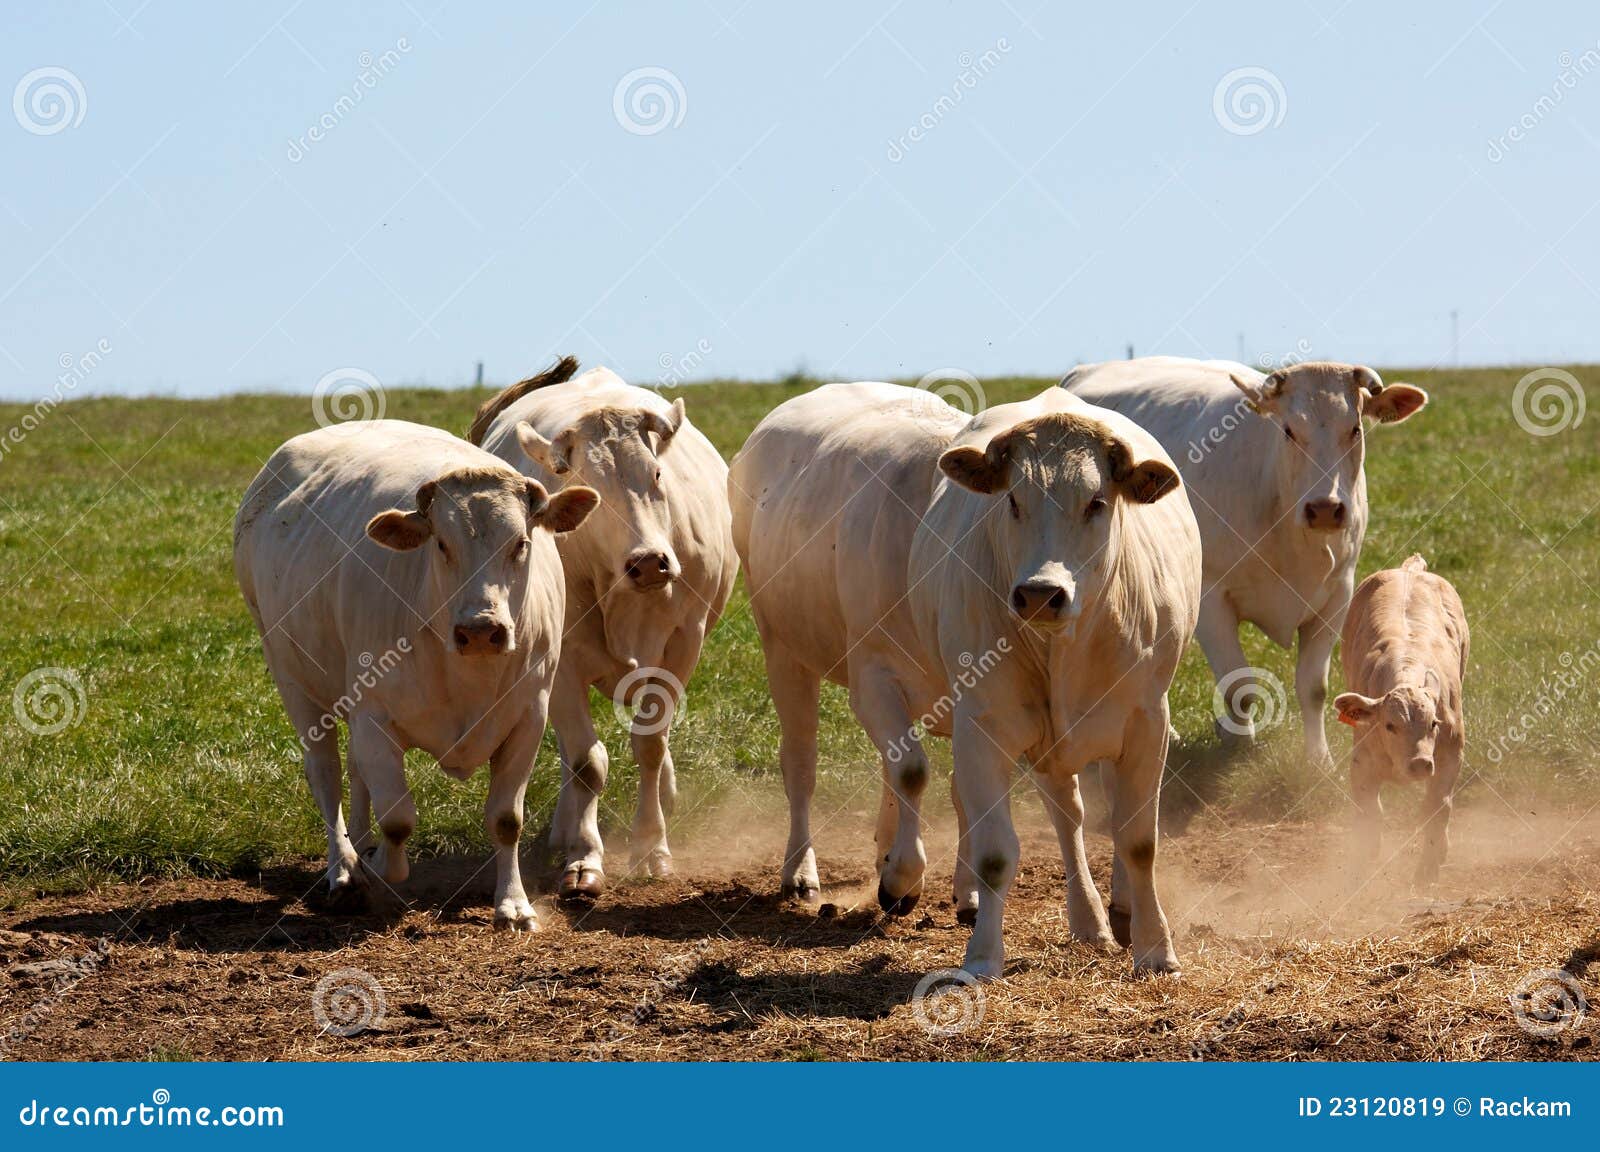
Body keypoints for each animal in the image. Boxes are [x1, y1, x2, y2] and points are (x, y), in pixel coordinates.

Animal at [234, 420, 598, 930]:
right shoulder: (373, 717)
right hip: (292, 678)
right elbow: (398, 818)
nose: (481, 629)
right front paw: (381, 868)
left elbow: (506, 819)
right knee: (326, 775)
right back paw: (343, 868)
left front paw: (512, 904)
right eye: (441, 544)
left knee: (355, 774)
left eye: (521, 544)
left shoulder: (529, 717)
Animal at [470, 358, 737, 900]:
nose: (651, 561)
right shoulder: (562, 660)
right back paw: (564, 826)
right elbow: (586, 762)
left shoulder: (683, 643)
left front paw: (651, 846)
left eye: (657, 473)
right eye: (591, 492)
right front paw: (584, 857)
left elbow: (651, 745)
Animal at [730, 382, 1200, 977]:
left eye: (1097, 502)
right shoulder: (905, 689)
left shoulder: (1144, 717)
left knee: (1058, 809)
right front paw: (960, 936)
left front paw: (1156, 949)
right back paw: (805, 872)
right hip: (783, 648)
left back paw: (1083, 914)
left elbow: (1137, 839)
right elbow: (947, 804)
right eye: (1013, 501)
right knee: (807, 764)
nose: (1041, 593)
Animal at [1064, 357, 1427, 765]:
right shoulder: (1211, 599)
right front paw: (1240, 747)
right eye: (1288, 430)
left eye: (1355, 429)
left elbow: (1313, 687)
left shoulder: (1338, 594)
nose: (1324, 509)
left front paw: (1318, 758)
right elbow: (1239, 685)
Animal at [1334, 554, 1468, 886]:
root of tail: (1410, 571)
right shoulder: (1361, 763)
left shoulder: (1451, 755)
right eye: (1389, 725)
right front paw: (1364, 861)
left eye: (1434, 723)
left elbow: (1437, 807)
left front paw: (1428, 868)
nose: (1419, 763)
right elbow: (1370, 814)